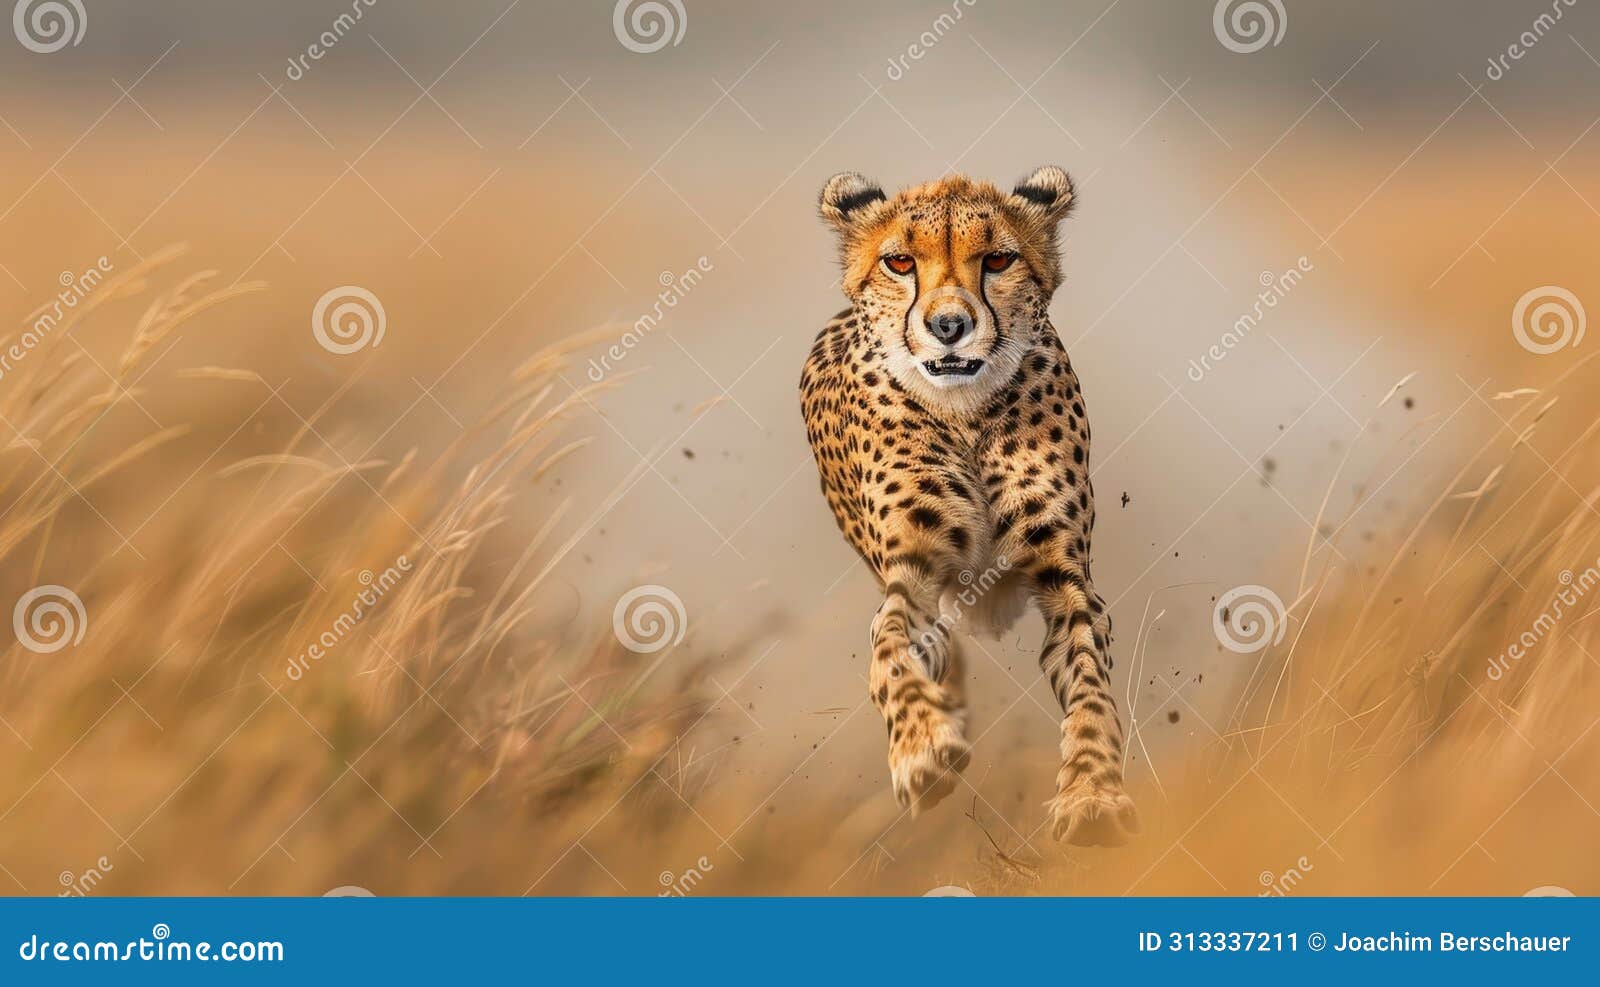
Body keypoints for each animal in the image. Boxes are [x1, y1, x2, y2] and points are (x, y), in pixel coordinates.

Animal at [798, 166, 1139, 846]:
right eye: (900, 262)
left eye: (999, 260)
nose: (949, 327)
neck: (965, 413)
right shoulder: (913, 574)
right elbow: (892, 653)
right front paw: (921, 747)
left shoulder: (1066, 578)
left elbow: (1090, 686)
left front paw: (1091, 791)